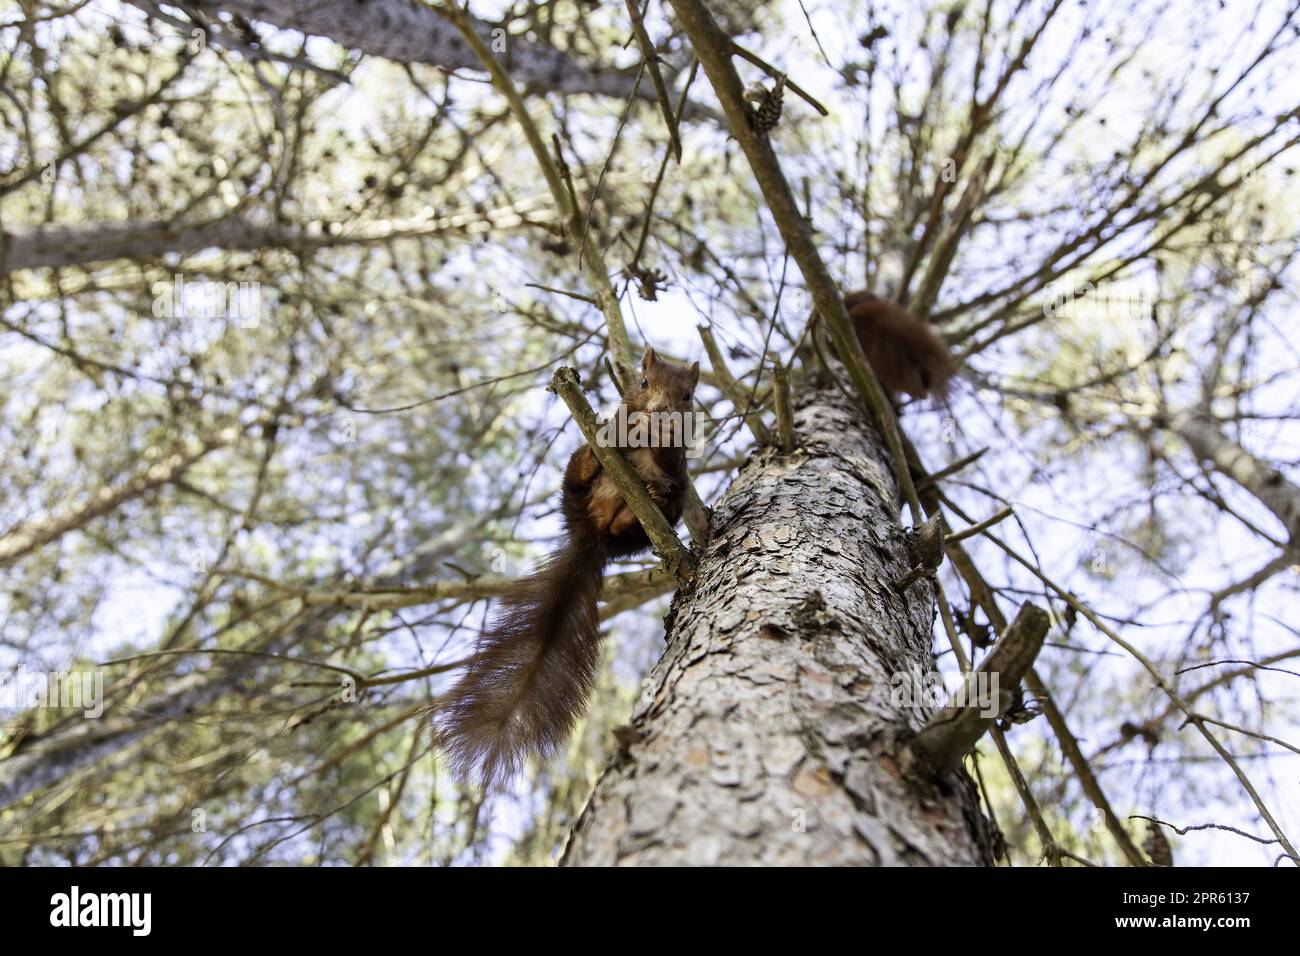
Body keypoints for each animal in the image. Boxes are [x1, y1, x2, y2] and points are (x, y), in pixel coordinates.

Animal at [438, 345, 699, 786]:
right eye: (644, 382)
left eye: (688, 398)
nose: (660, 410)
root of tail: (593, 532)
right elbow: (620, 423)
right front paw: (624, 425)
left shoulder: (676, 462)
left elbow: (668, 459)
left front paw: (662, 437)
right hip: (573, 485)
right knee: (578, 475)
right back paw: (592, 461)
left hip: (657, 516)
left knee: (652, 508)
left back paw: (645, 502)